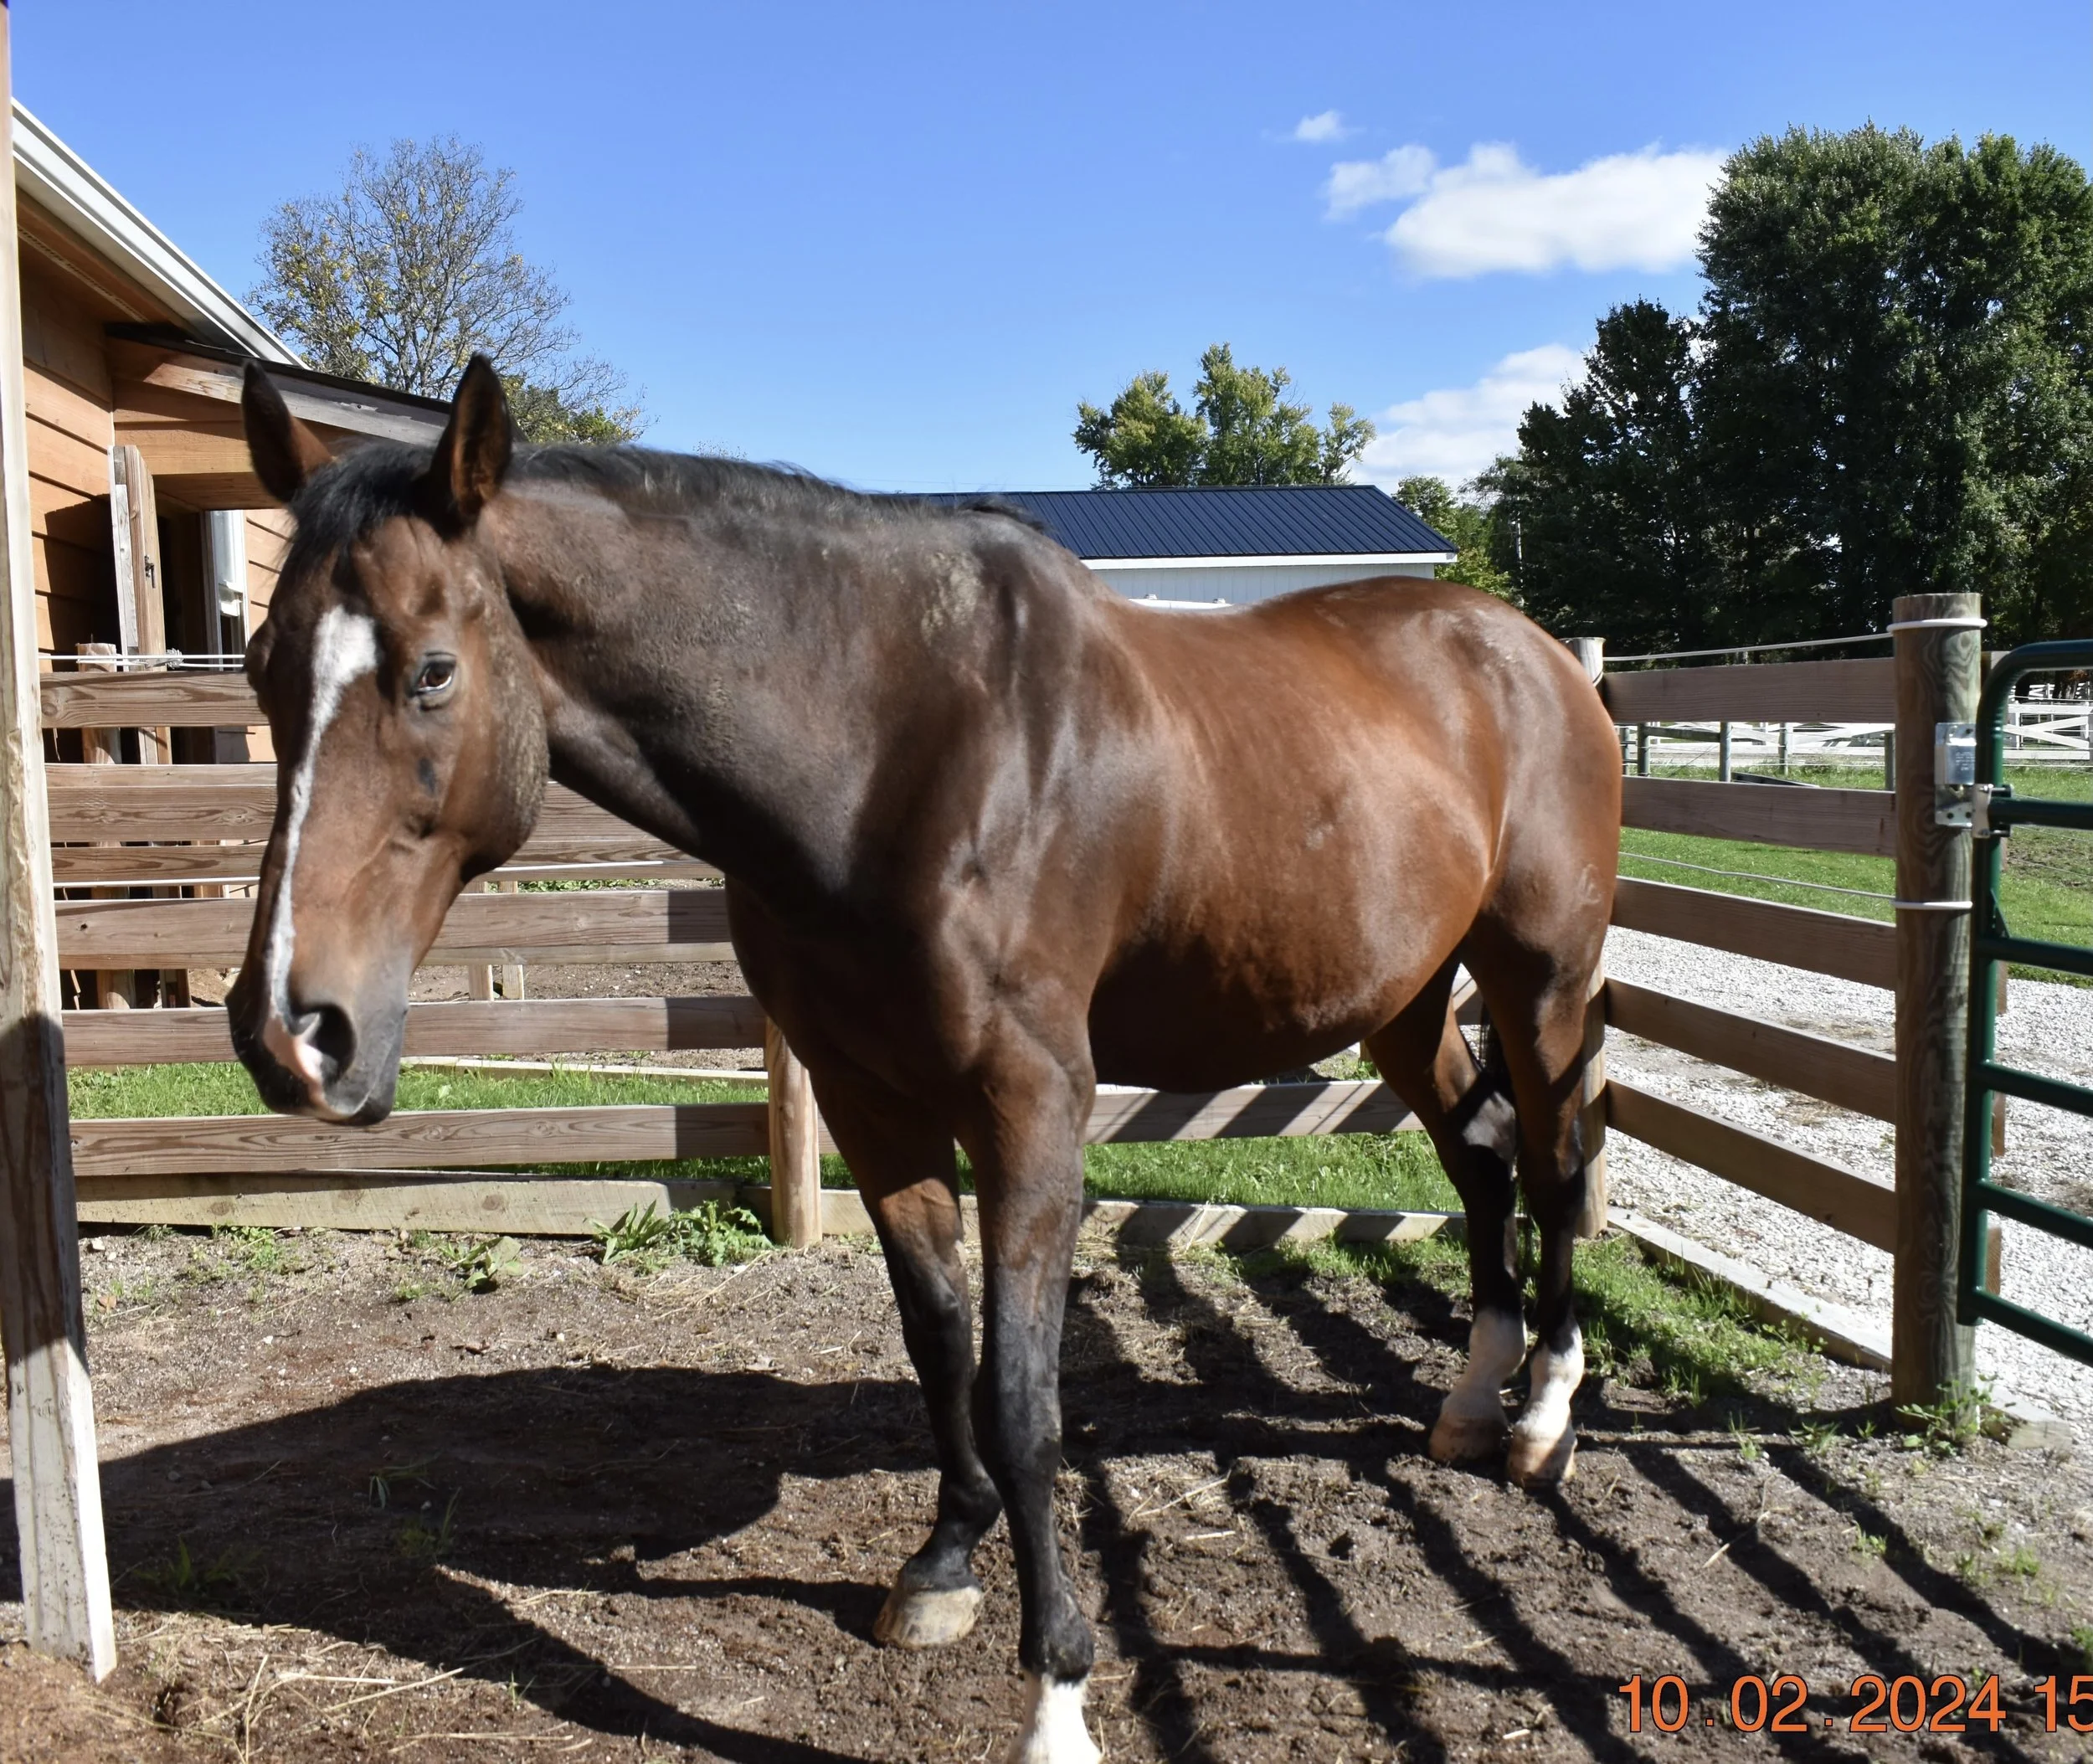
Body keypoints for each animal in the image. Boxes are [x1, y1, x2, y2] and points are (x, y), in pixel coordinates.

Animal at [227, 356, 1620, 1764]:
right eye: (260, 663)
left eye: (432, 670)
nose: (292, 1030)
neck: (897, 742)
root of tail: (1533, 651)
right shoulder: (869, 1093)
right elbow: (938, 1334)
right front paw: (946, 1561)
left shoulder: (1031, 1105)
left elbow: (1022, 1390)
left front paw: (1056, 1695)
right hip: (1405, 995)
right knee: (1483, 1153)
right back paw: (1473, 1400)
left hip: (1541, 978)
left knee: (1558, 1153)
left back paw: (1544, 1417)